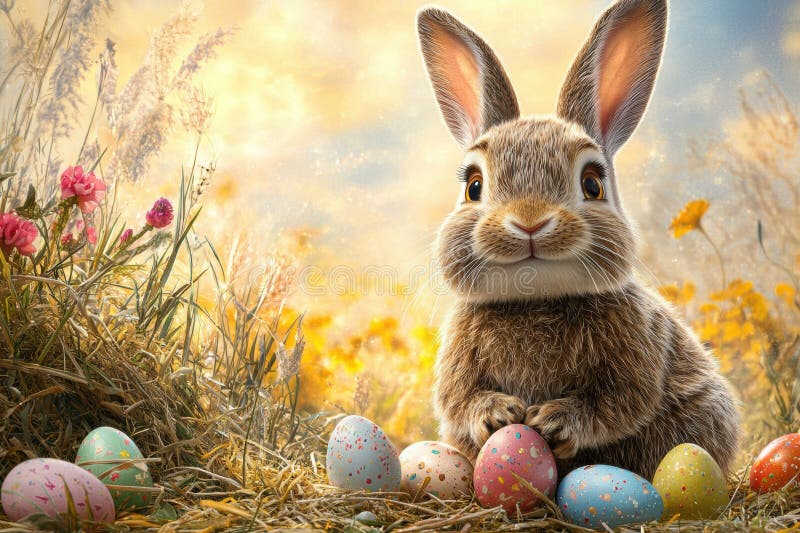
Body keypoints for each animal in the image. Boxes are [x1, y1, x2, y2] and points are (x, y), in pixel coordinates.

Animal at [415, 0, 740, 479]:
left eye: (592, 183)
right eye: (474, 186)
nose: (530, 222)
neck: (536, 300)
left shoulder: (637, 358)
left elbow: (620, 403)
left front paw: (555, 421)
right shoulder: (458, 363)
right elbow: (459, 400)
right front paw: (497, 414)